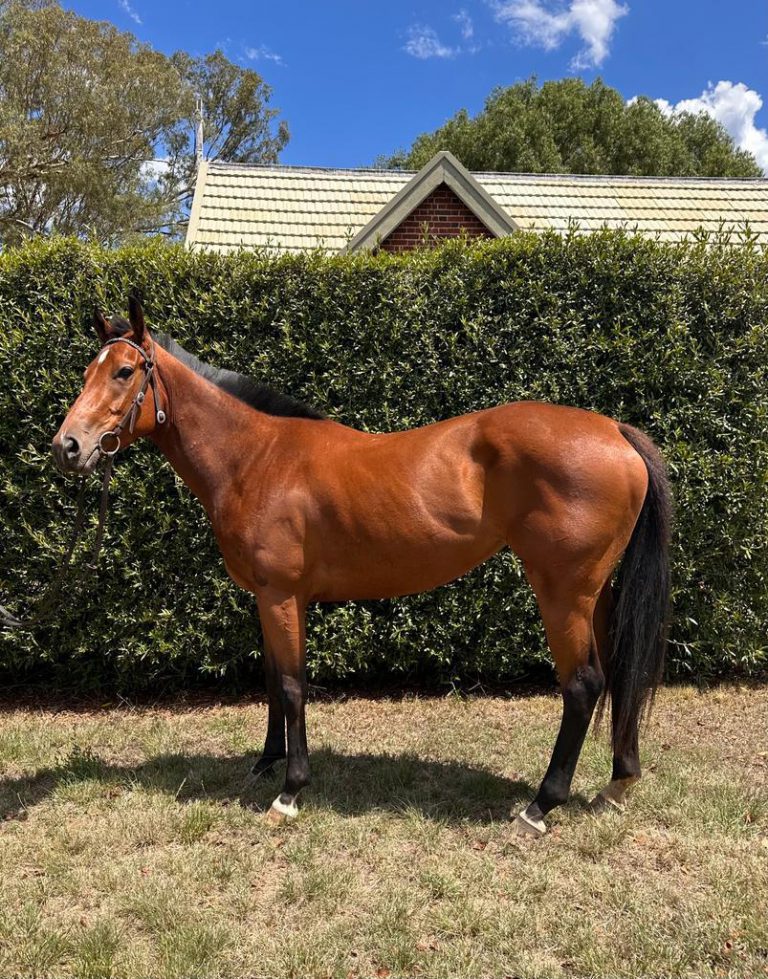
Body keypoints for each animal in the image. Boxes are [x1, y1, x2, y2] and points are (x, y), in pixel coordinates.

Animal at [52, 296, 671, 836]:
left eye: (125, 371)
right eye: (88, 371)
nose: (67, 447)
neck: (257, 458)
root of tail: (614, 431)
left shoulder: (280, 595)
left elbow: (293, 685)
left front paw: (290, 792)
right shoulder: (271, 599)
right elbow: (273, 680)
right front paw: (265, 764)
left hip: (562, 593)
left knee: (583, 684)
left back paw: (540, 806)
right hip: (595, 594)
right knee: (618, 671)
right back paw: (617, 784)